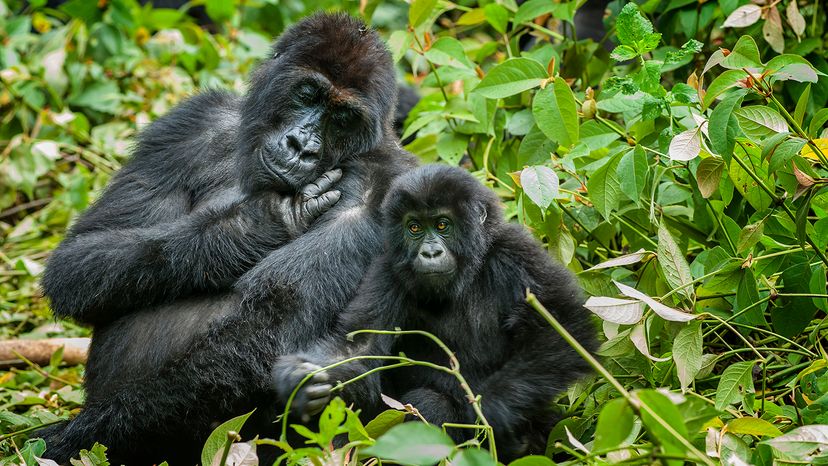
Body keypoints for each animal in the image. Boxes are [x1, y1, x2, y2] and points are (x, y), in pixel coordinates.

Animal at [39, 12, 418, 464]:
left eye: (343, 118)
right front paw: (254, 225)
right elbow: (78, 258)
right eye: (308, 93)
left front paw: (74, 437)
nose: (301, 146)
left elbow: (274, 323)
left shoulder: (385, 184)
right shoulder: (190, 122)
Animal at [276, 164, 596, 458]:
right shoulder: (388, 270)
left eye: (442, 225)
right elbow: (358, 346)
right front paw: (299, 377)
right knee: (429, 403)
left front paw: (493, 408)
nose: (430, 253)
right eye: (415, 227)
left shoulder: (516, 253)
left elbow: (564, 329)